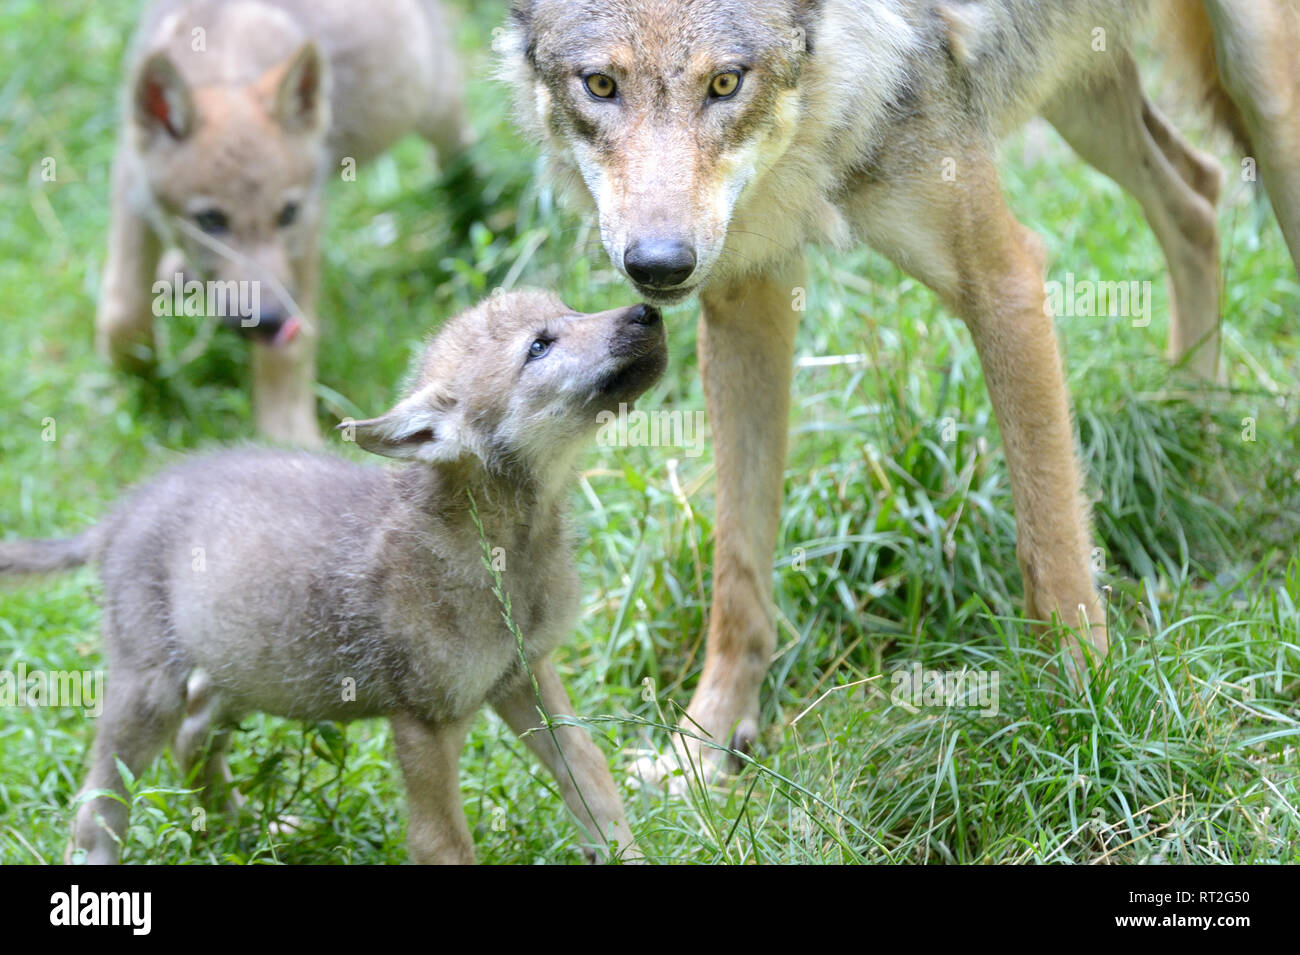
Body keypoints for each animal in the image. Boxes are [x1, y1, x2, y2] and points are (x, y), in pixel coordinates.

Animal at [2, 290, 666, 864]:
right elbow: (443, 842)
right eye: (539, 347)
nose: (647, 310)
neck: (512, 552)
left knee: (192, 733)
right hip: (149, 688)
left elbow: (592, 779)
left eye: (570, 308)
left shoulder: (525, 676)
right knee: (97, 804)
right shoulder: (424, 722)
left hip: (246, 668)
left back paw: (245, 830)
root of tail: (118, 516)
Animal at [97, 0, 474, 444]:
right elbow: (122, 312)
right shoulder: (130, 190)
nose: (268, 319)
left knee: (462, 147)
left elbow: (289, 352)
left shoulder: (308, 225)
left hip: (428, 102)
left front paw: (288, 437)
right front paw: (142, 380)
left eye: (286, 215)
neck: (226, 59)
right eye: (210, 219)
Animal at [503, 0, 1300, 782]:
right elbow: (738, 570)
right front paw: (705, 747)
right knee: (1198, 193)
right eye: (601, 85)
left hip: (1258, 96)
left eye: (725, 83)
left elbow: (1053, 554)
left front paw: (1087, 724)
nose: (659, 265)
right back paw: (1194, 422)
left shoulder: (1006, 281)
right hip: (1081, 90)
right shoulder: (744, 299)